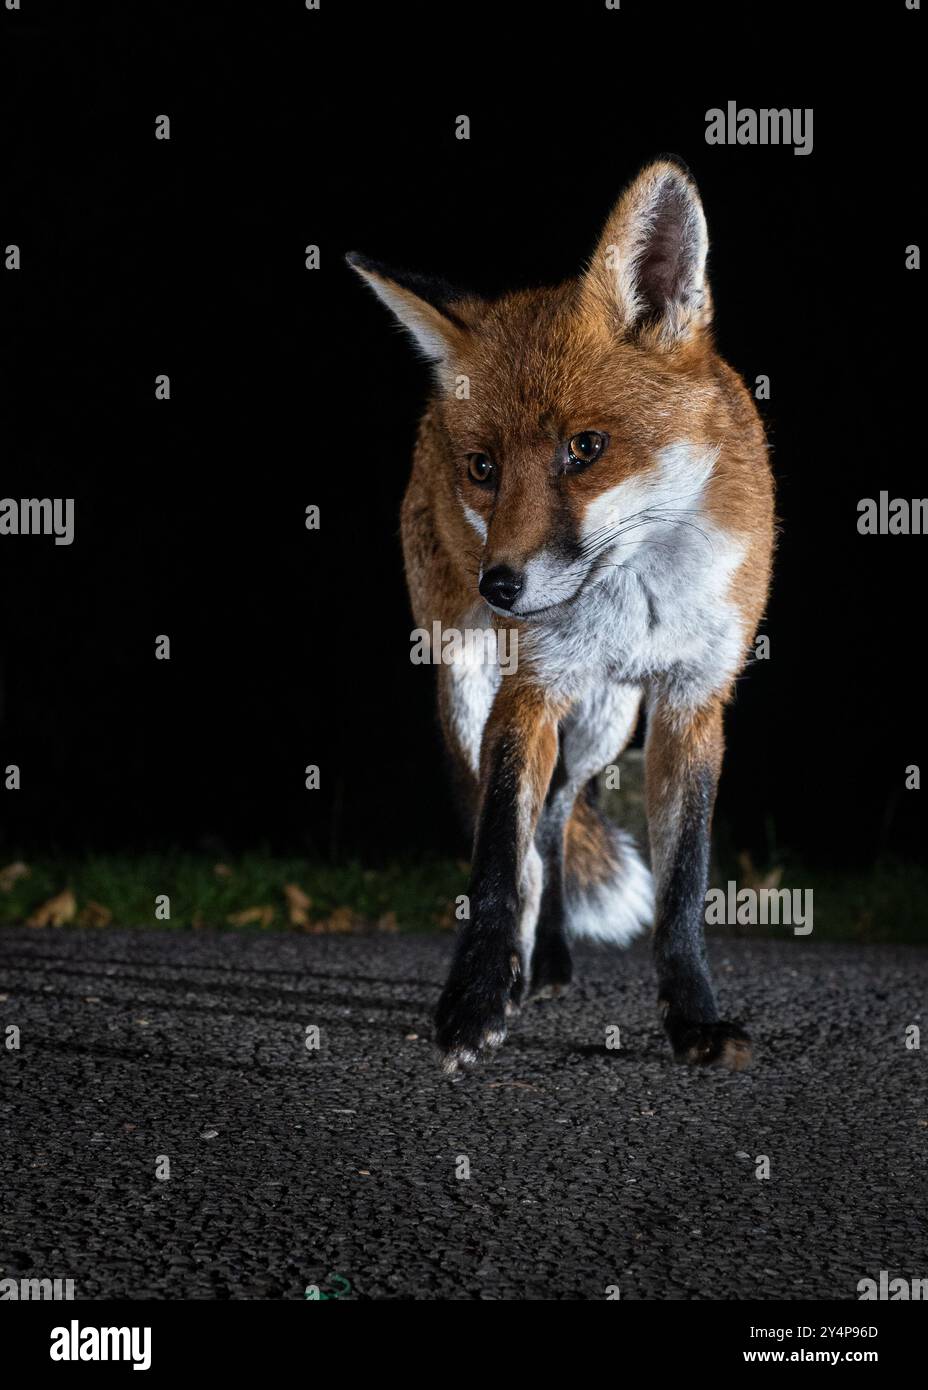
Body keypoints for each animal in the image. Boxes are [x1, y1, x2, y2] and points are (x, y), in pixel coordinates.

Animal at [348, 158, 775, 1074]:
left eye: (585, 448)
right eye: (483, 469)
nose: (501, 586)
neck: (638, 599)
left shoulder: (693, 702)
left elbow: (683, 885)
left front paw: (693, 1018)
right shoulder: (530, 690)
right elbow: (495, 867)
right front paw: (475, 1002)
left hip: (606, 725)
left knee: (550, 823)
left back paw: (544, 962)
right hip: (470, 688)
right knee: (514, 835)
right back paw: (518, 968)